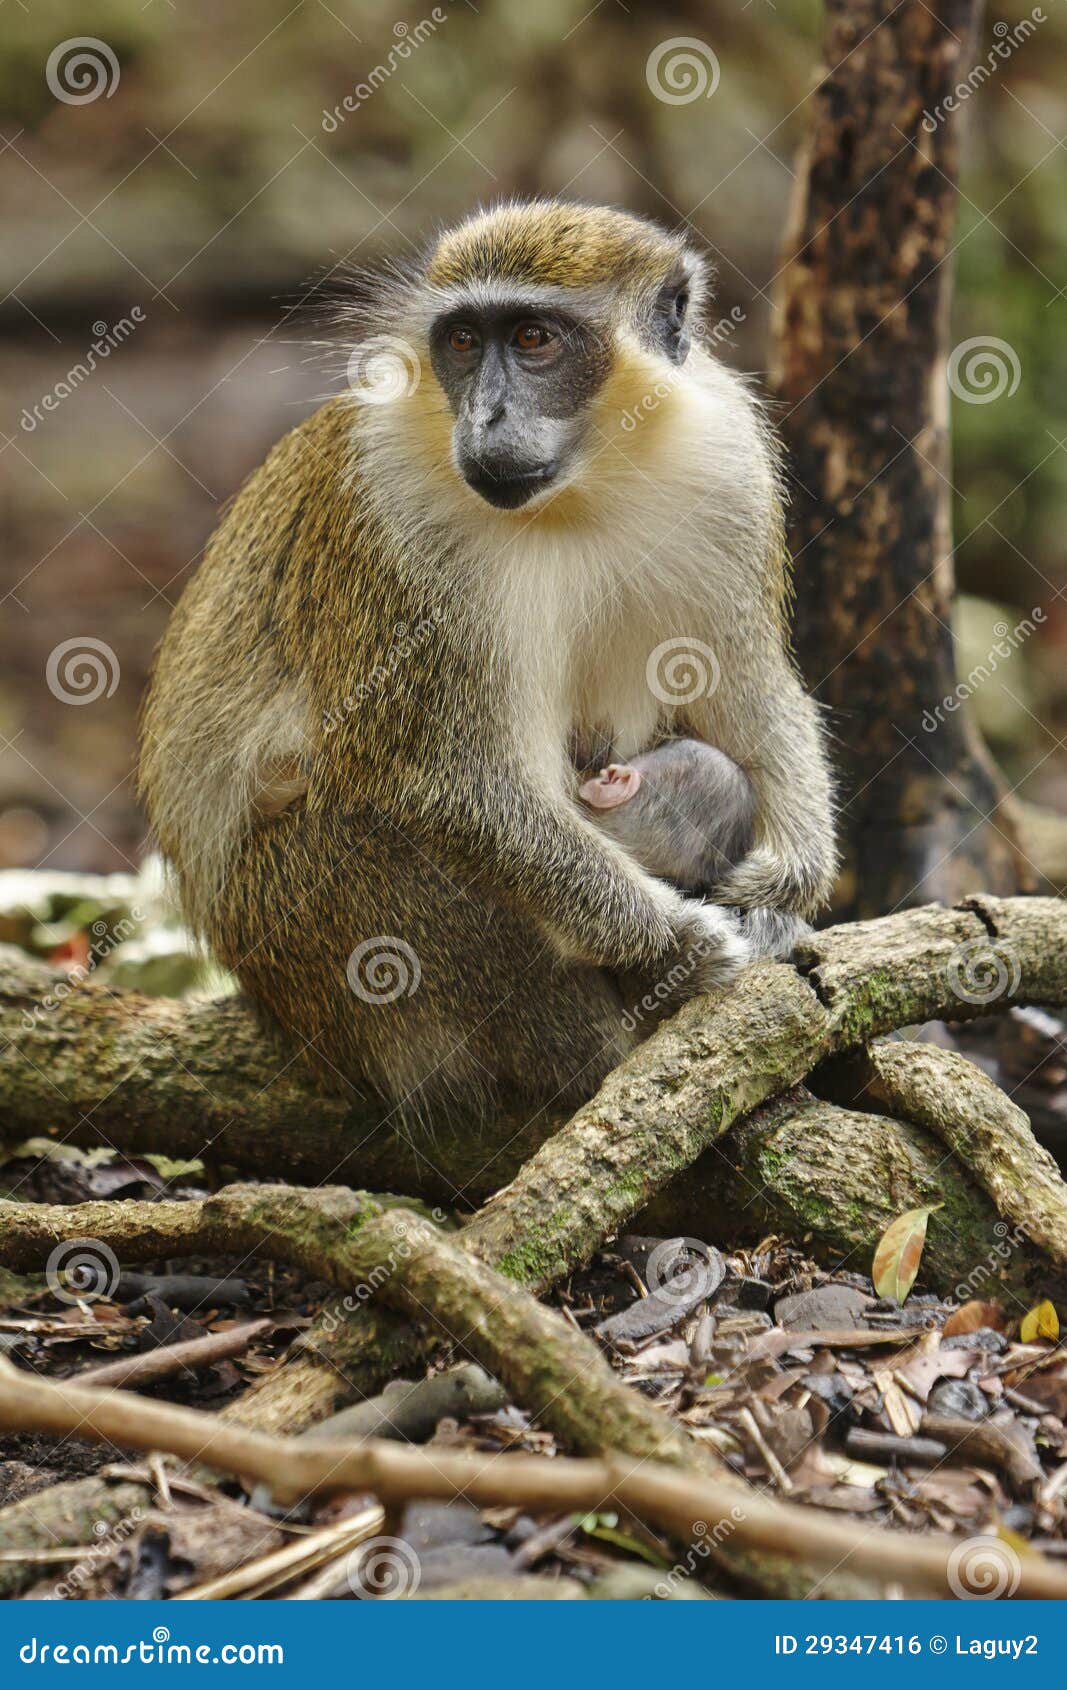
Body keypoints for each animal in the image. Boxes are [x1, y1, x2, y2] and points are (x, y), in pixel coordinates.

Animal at [140, 199, 836, 1130]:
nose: (487, 418)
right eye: (464, 342)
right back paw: (599, 1048)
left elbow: (750, 686)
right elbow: (442, 782)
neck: (582, 487)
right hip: (303, 946)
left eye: (535, 338)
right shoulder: (393, 515)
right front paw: (670, 939)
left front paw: (789, 878)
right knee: (376, 835)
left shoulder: (729, 470)